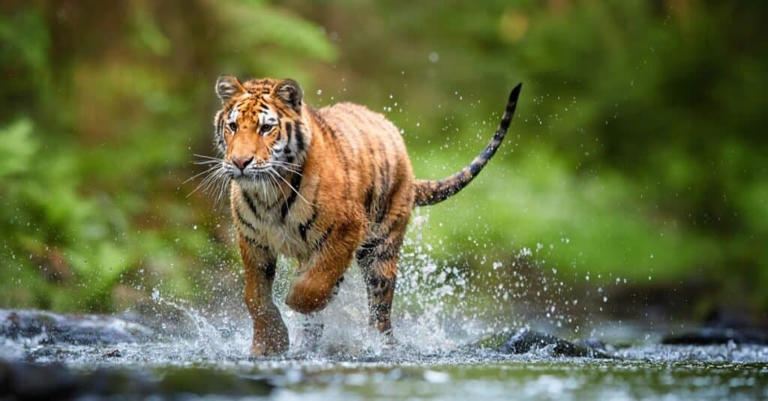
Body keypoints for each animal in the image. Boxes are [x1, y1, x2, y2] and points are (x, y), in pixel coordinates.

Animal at [209, 76, 521, 355]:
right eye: (233, 126)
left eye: (266, 128)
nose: (240, 162)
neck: (269, 195)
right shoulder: (253, 240)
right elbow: (255, 297)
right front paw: (269, 345)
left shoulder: (346, 230)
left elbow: (314, 285)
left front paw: (295, 298)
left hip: (381, 250)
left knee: (380, 313)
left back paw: (380, 346)